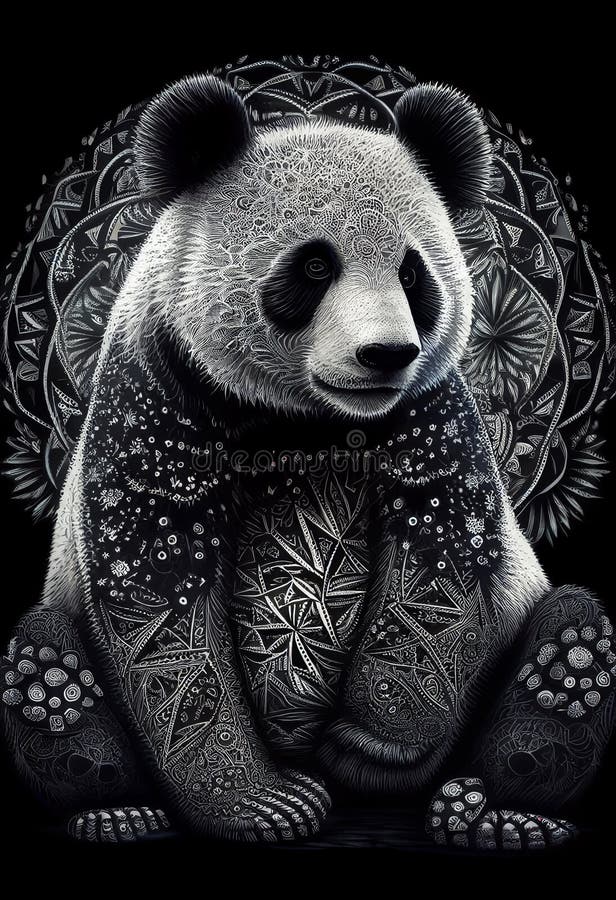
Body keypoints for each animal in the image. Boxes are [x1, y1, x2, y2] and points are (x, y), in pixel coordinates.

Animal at [2, 73, 615, 849]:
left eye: (414, 275)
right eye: (316, 266)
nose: (386, 354)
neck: (307, 422)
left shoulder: (430, 405)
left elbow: (442, 560)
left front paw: (370, 744)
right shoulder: (156, 382)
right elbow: (158, 606)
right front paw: (265, 804)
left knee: (570, 624)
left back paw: (495, 803)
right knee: (43, 649)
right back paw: (110, 796)